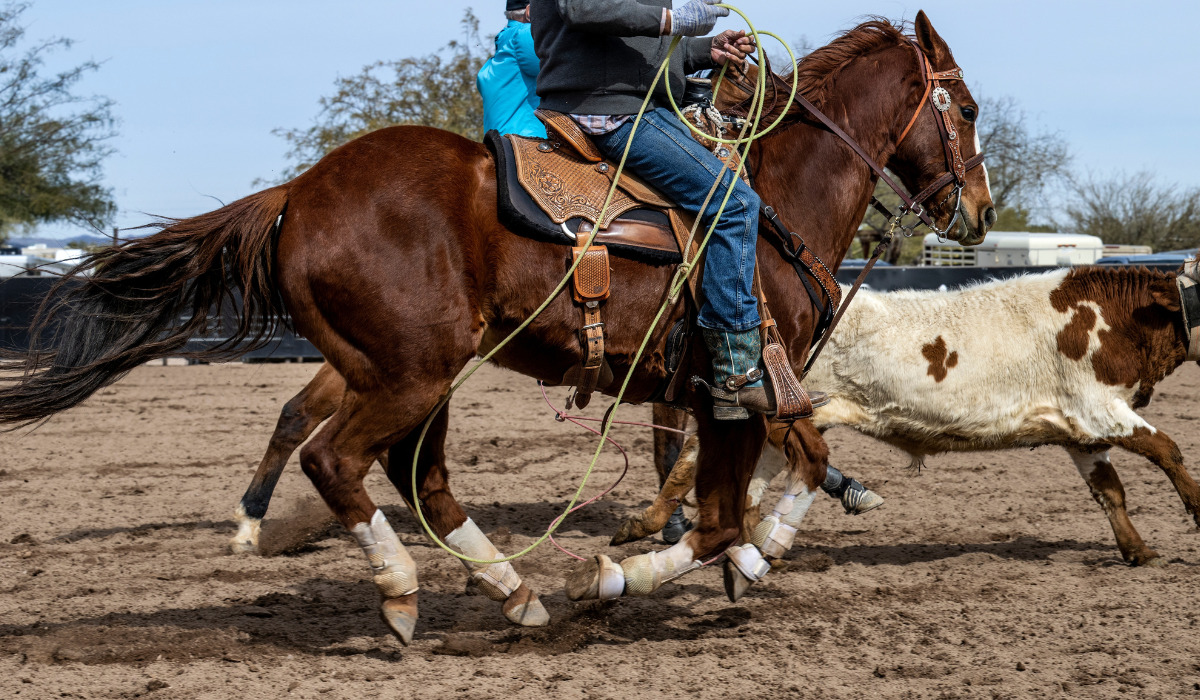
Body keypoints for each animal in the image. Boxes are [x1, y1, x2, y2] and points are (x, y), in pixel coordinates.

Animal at [0, 13, 993, 644]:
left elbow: (758, 491)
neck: (776, 198)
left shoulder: (722, 401)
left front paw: (736, 558)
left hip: (417, 374)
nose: (980, 211)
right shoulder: (744, 387)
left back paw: (510, 591)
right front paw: (630, 575)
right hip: (410, 370)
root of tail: (297, 192)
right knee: (337, 460)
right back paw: (404, 593)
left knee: (419, 478)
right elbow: (747, 500)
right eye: (971, 110)